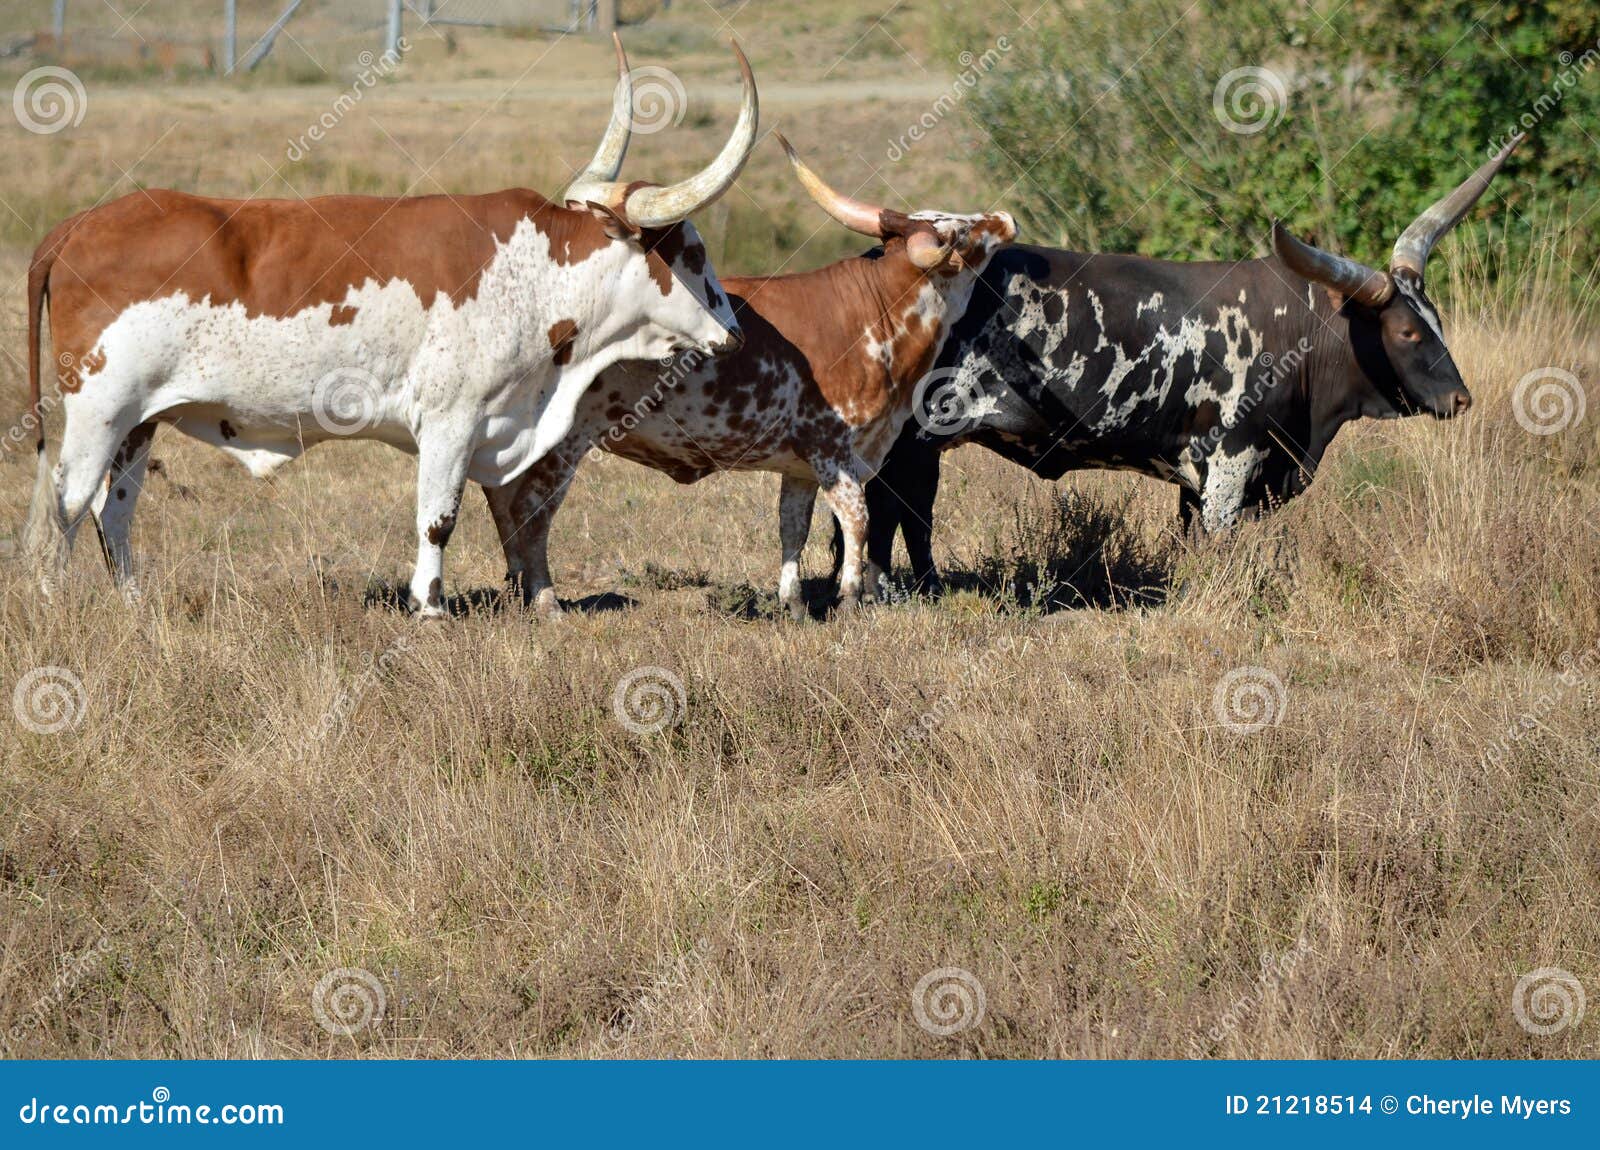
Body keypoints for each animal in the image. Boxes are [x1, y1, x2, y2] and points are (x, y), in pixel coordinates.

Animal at [22, 38, 758, 618]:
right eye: (693, 255)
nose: (734, 331)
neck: (538, 274)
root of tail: (82, 222)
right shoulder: (451, 418)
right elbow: (438, 519)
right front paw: (429, 607)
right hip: (99, 408)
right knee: (65, 504)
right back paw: (55, 609)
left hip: (138, 421)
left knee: (112, 510)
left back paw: (132, 605)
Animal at [482, 134, 1017, 619]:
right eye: (958, 236)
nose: (1005, 219)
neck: (876, 314)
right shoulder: (831, 449)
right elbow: (856, 519)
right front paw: (849, 600)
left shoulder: (801, 464)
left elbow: (793, 526)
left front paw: (794, 603)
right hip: (561, 443)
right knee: (530, 511)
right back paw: (546, 601)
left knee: (504, 502)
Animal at [828, 141, 1519, 595]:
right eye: (1405, 331)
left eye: (1436, 317)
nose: (1461, 399)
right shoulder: (1232, 462)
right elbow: (1218, 547)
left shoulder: (1200, 472)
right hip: (910, 441)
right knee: (894, 515)